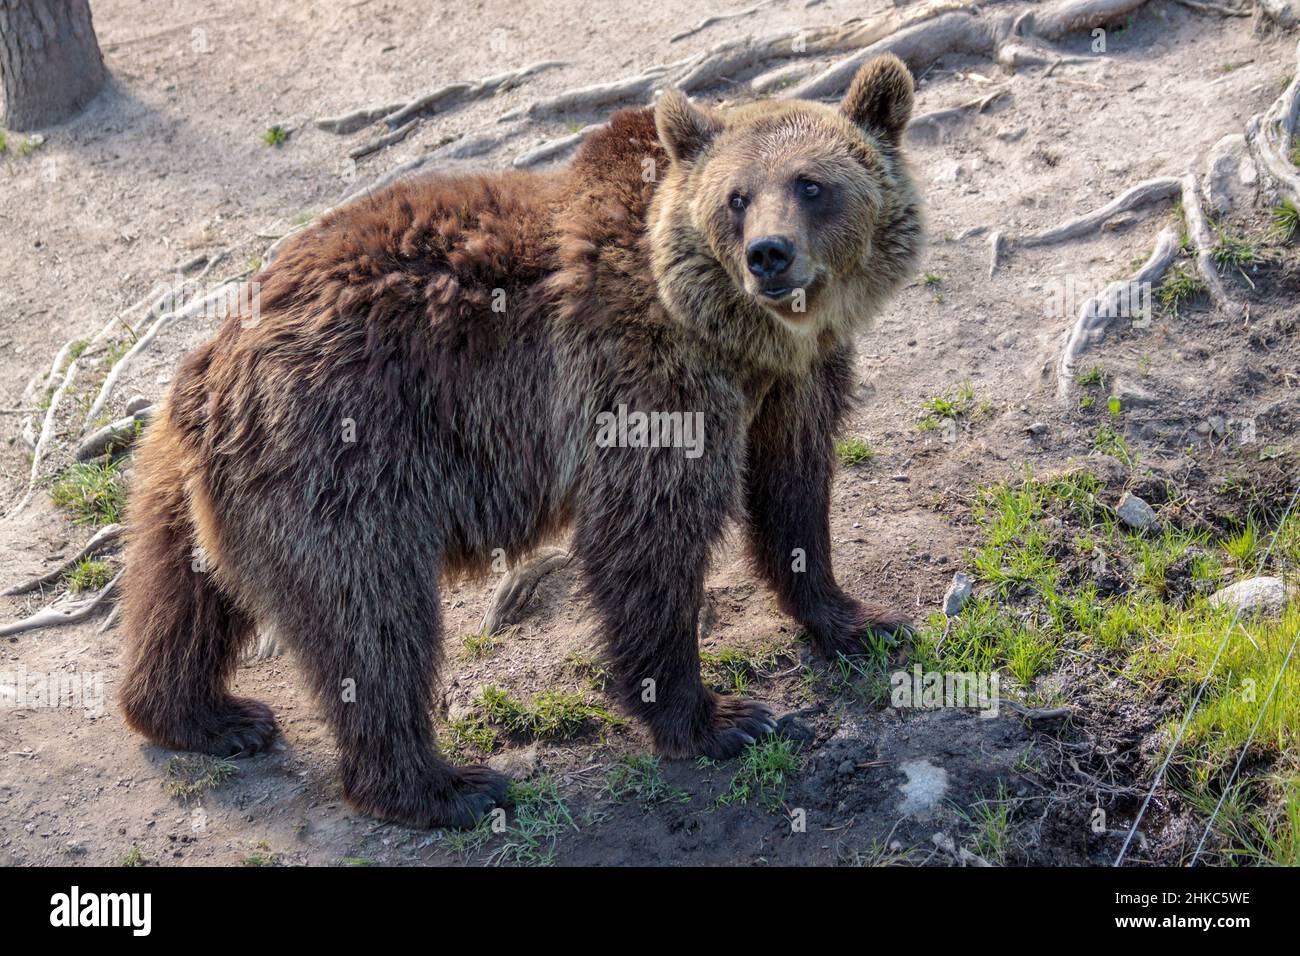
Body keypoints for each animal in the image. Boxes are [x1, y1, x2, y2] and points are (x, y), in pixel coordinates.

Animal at [118, 54, 924, 829]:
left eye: (812, 184)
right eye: (736, 197)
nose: (768, 254)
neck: (743, 339)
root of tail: (219, 367)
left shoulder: (796, 384)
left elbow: (795, 491)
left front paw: (858, 619)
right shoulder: (644, 382)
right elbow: (648, 535)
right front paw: (719, 717)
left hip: (182, 477)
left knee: (181, 590)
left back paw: (201, 713)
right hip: (342, 463)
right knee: (372, 618)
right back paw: (441, 786)